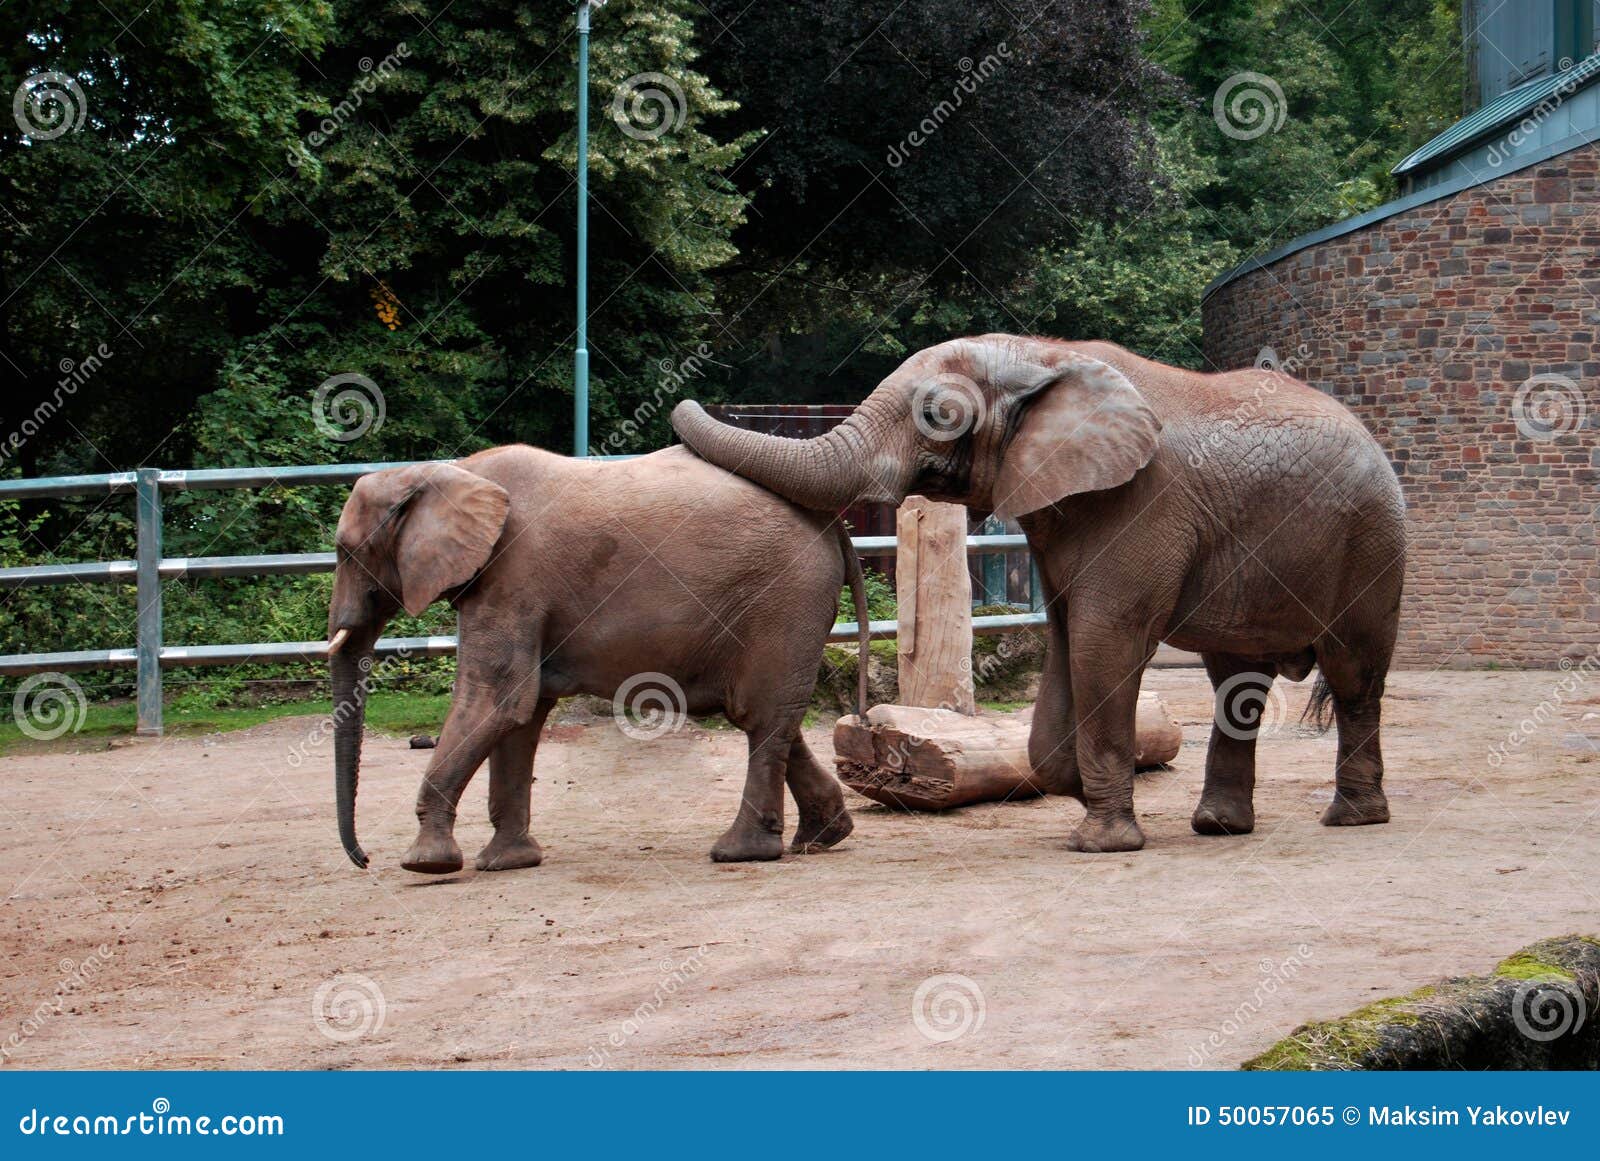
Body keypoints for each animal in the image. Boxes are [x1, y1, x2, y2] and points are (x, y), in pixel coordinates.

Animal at [326, 445, 869, 873]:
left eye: (346, 553)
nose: (364, 859)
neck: (449, 472)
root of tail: (835, 525)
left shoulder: (512, 578)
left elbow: (496, 702)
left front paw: (426, 864)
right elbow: (521, 713)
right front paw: (507, 862)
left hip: (785, 600)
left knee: (762, 717)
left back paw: (740, 852)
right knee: (768, 716)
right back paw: (821, 837)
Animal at [671, 334, 1406, 853]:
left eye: (938, 414)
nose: (686, 399)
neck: (1043, 353)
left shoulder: (1142, 502)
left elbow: (1104, 638)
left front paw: (1100, 841)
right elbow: (1064, 636)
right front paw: (1076, 787)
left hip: (1373, 540)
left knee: (1353, 675)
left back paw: (1352, 818)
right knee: (1236, 682)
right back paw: (1220, 827)